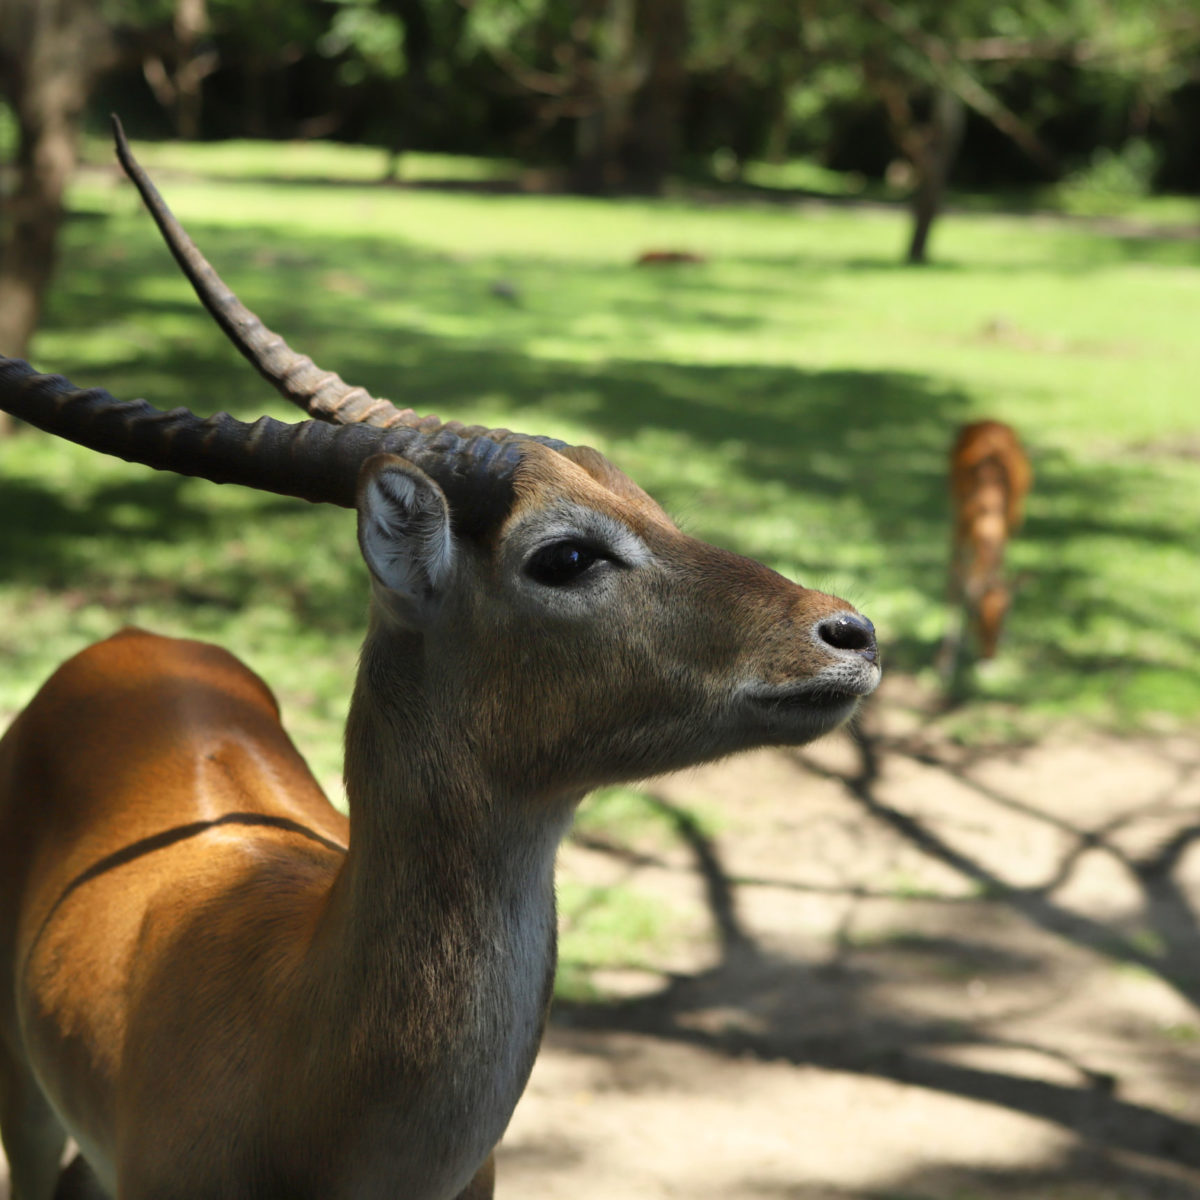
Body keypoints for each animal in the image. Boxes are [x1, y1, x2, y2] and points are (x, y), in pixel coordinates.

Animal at [0, 123, 880, 1200]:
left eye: (653, 507)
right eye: (566, 554)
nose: (848, 634)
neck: (295, 1059)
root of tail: (133, 640)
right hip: (22, 1095)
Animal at [938, 418, 1032, 678]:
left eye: (1006, 614)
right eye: (977, 615)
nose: (988, 658)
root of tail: (990, 420)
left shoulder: (1009, 524)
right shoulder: (958, 528)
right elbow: (955, 584)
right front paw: (945, 663)